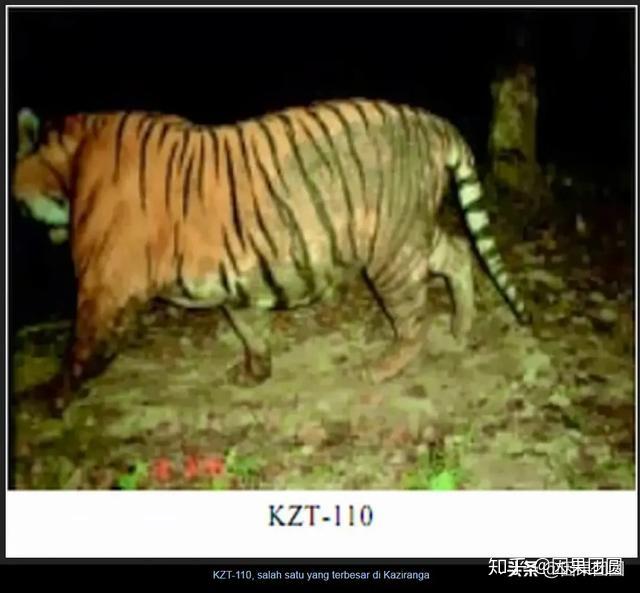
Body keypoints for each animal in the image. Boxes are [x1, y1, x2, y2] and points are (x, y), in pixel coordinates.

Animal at [12, 99, 531, 408]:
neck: (69, 166)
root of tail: (431, 120)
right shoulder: (233, 279)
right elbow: (250, 328)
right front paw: (255, 372)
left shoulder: (103, 281)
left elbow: (80, 345)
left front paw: (49, 397)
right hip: (410, 235)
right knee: (459, 251)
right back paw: (461, 326)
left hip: (391, 252)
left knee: (412, 319)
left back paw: (384, 366)